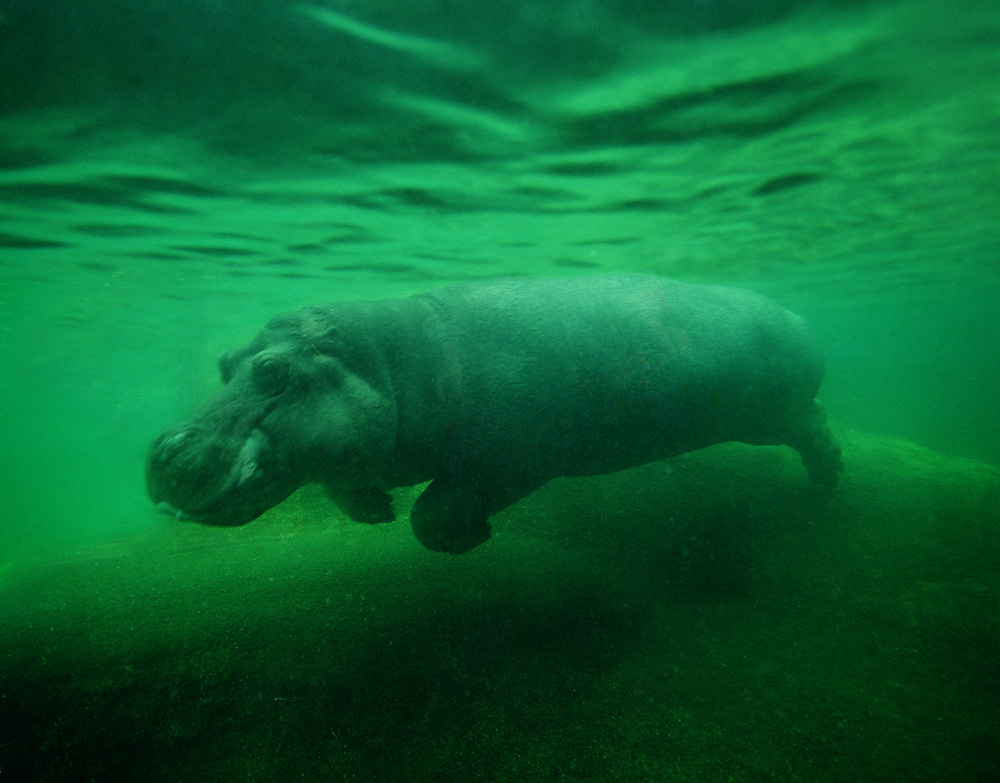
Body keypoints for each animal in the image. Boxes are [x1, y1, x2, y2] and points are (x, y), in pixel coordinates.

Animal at [147, 274, 842, 553]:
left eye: (272, 371)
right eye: (224, 362)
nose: (164, 451)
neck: (390, 362)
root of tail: (802, 319)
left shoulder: (513, 461)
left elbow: (433, 517)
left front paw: (472, 536)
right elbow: (348, 482)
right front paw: (374, 510)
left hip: (769, 416)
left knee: (814, 426)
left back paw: (828, 482)